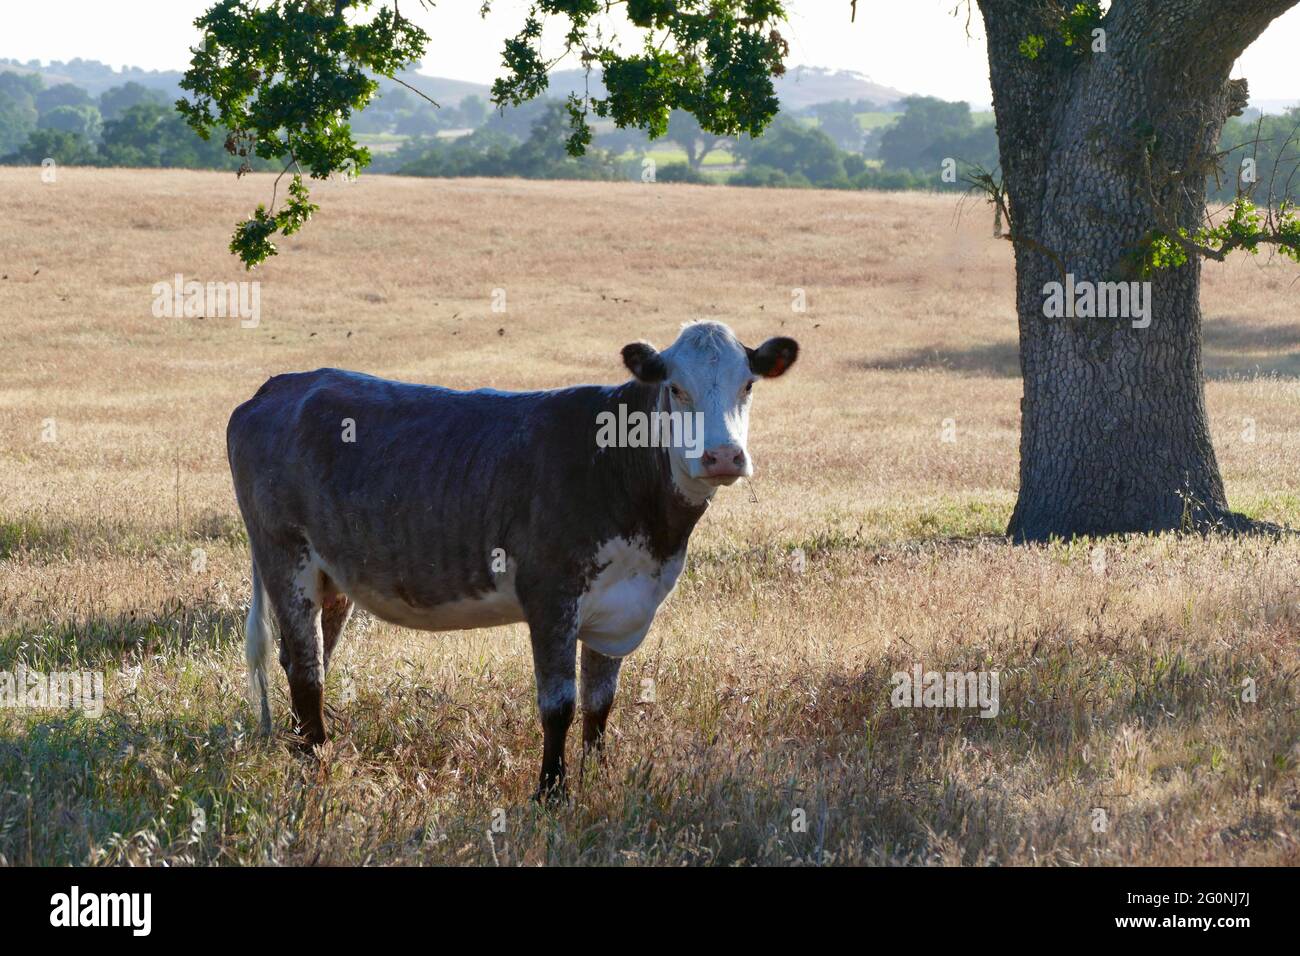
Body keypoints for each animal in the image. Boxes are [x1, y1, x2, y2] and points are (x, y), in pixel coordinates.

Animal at [227, 320, 798, 799]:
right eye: (677, 389)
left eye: (748, 385)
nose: (723, 456)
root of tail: (280, 386)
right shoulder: (551, 595)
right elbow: (559, 705)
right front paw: (551, 795)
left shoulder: (620, 607)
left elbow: (599, 703)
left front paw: (597, 779)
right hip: (285, 554)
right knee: (306, 668)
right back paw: (315, 768)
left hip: (333, 576)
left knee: (305, 656)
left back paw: (302, 749)